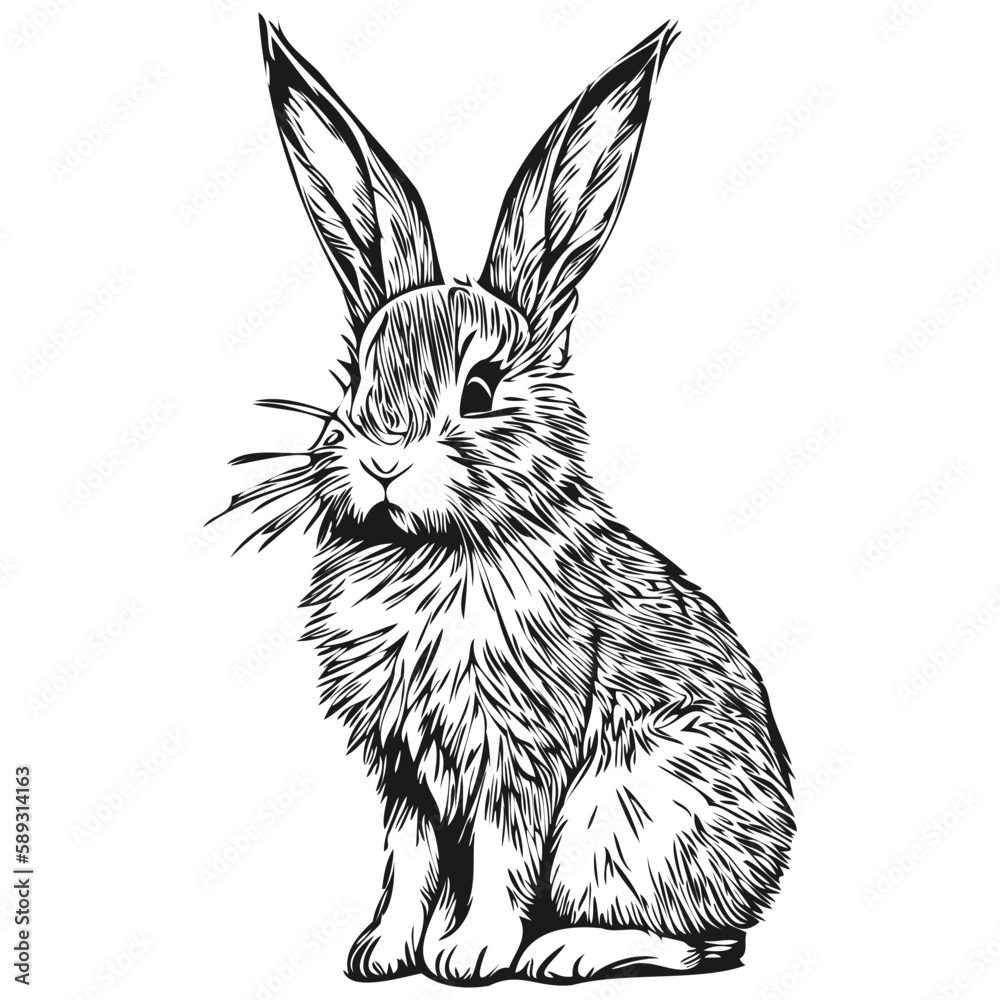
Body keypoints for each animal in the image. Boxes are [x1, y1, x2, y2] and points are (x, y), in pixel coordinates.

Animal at [221, 15, 795, 985]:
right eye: (355, 378)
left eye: (481, 390)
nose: (383, 459)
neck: (432, 548)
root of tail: (772, 863)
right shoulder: (405, 773)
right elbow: (409, 861)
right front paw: (384, 952)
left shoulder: (518, 756)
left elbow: (499, 859)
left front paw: (470, 956)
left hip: (625, 816)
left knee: (699, 941)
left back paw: (564, 950)